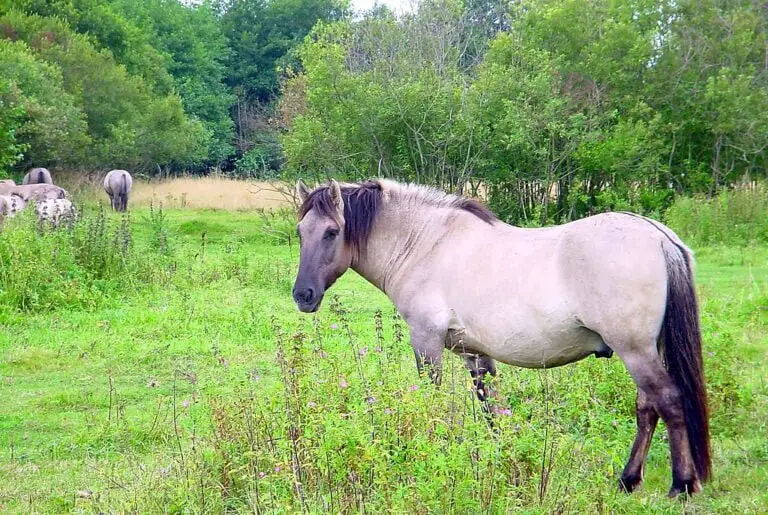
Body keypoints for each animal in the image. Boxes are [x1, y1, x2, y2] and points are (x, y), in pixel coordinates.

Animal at [292, 179, 711, 498]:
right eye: (300, 232)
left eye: (332, 232)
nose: (303, 295)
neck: (425, 244)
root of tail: (659, 237)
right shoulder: (474, 353)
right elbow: (490, 409)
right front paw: (501, 459)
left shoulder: (427, 342)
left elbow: (431, 401)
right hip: (643, 351)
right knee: (647, 408)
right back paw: (628, 480)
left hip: (635, 351)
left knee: (668, 402)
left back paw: (681, 484)